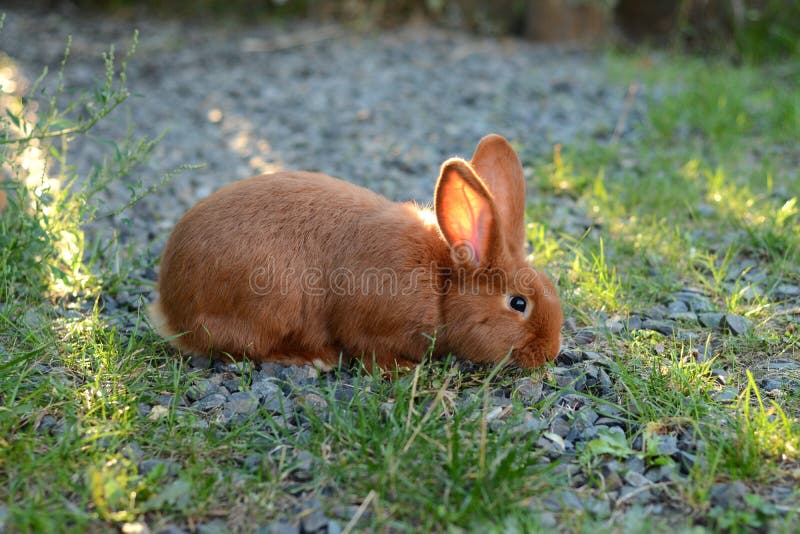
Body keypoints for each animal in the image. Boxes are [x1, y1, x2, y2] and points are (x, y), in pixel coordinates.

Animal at [149, 134, 562, 370]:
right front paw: (403, 370)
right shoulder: (372, 325)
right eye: (519, 304)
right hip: (270, 303)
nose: (551, 352)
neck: (443, 287)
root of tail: (171, 309)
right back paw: (310, 359)